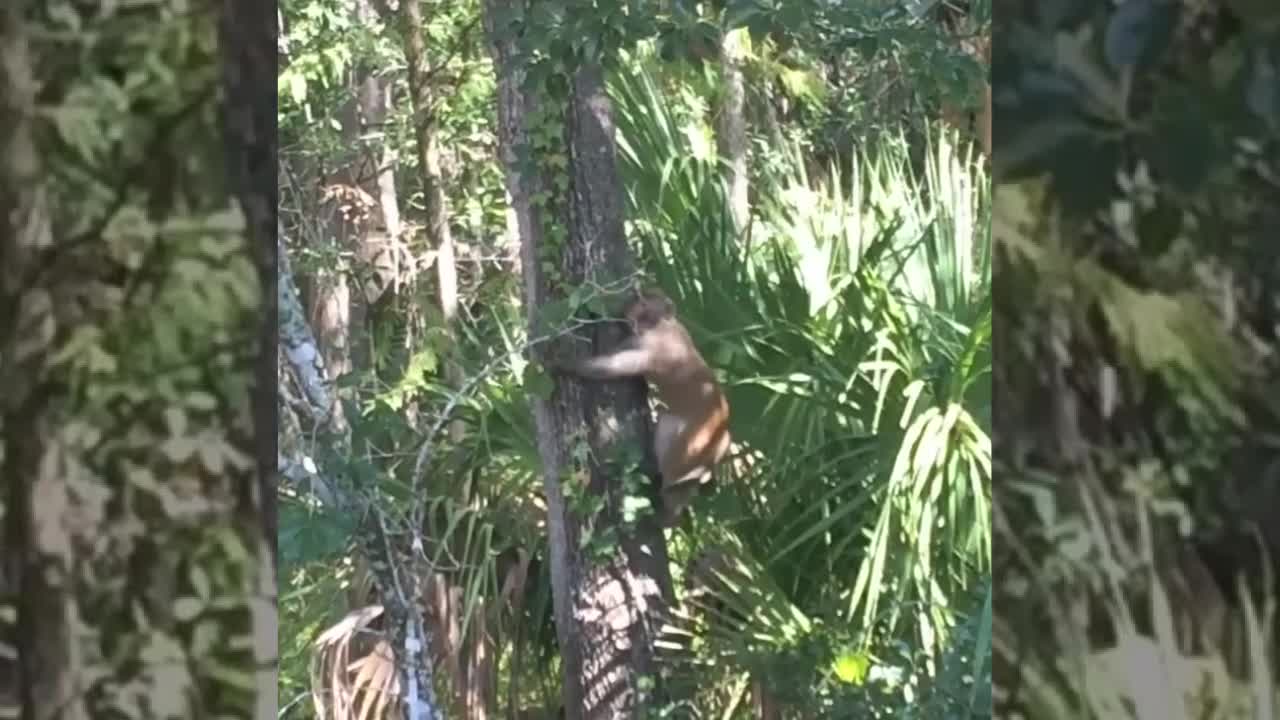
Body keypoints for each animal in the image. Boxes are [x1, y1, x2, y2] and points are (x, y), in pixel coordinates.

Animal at [555, 289, 731, 527]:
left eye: (643, 302)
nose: (629, 308)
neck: (664, 325)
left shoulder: (649, 345)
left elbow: (612, 366)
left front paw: (562, 364)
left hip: (691, 446)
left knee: (673, 468)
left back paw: (667, 515)